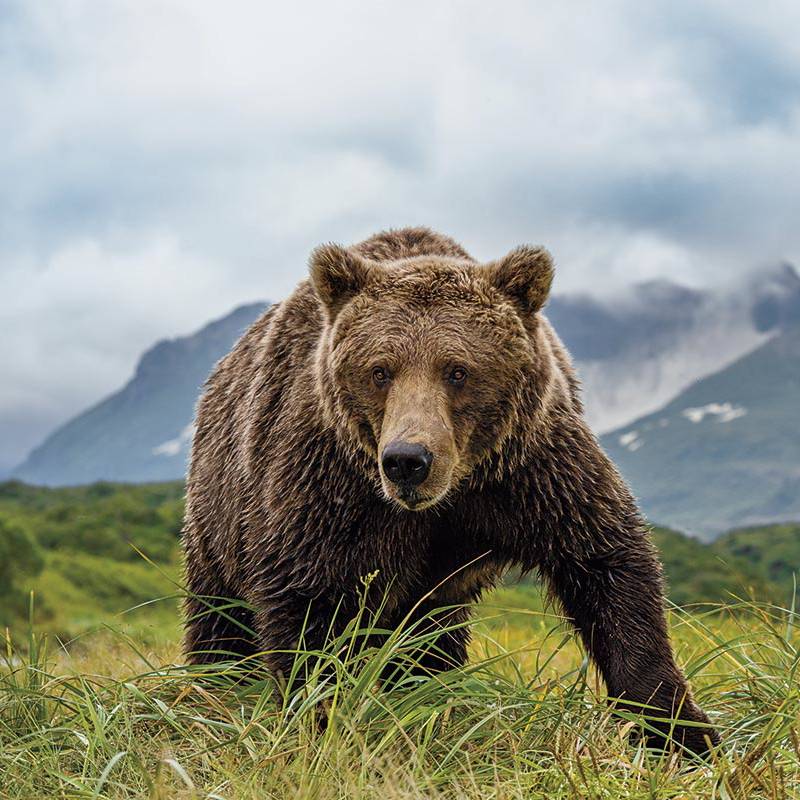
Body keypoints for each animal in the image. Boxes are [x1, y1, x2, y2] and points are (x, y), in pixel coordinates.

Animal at [182, 226, 719, 755]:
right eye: (380, 370)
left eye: (457, 370)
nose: (407, 460)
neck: (449, 495)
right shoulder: (331, 483)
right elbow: (313, 605)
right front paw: (324, 722)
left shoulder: (530, 469)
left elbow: (607, 564)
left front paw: (682, 733)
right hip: (219, 514)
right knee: (220, 621)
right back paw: (212, 694)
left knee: (429, 641)